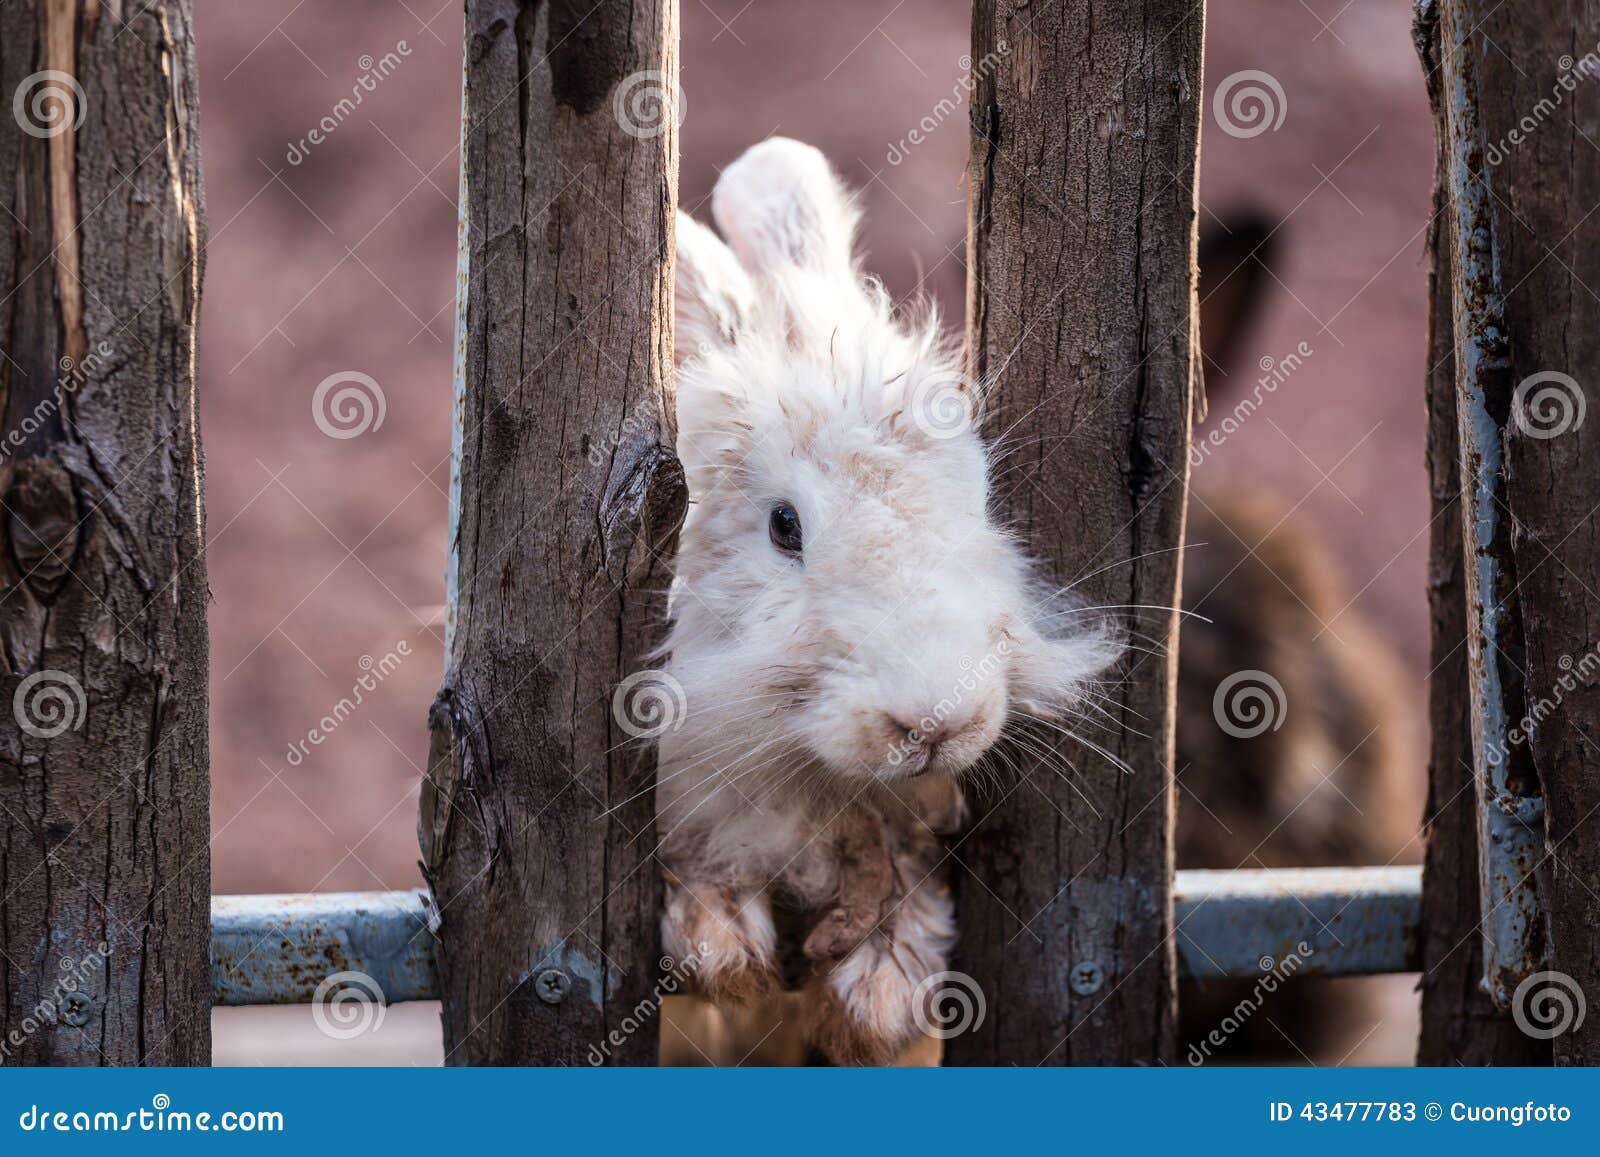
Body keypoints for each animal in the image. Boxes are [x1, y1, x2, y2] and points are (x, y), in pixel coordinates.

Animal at [655, 138, 1119, 1066]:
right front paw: (722, 951)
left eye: (981, 499)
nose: (936, 723)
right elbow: (711, 870)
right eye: (785, 526)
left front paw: (879, 1000)